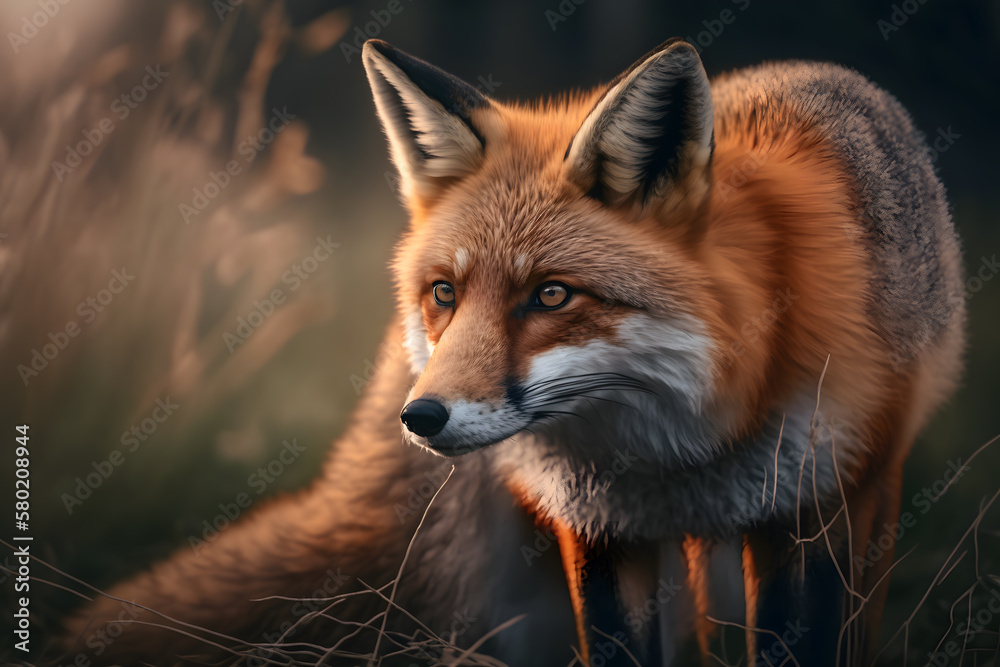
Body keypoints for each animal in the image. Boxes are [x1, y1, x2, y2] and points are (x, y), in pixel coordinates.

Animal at [63, 37, 964, 666]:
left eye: (552, 295)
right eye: (445, 293)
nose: (422, 417)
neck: (681, 459)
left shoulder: (810, 519)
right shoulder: (597, 533)